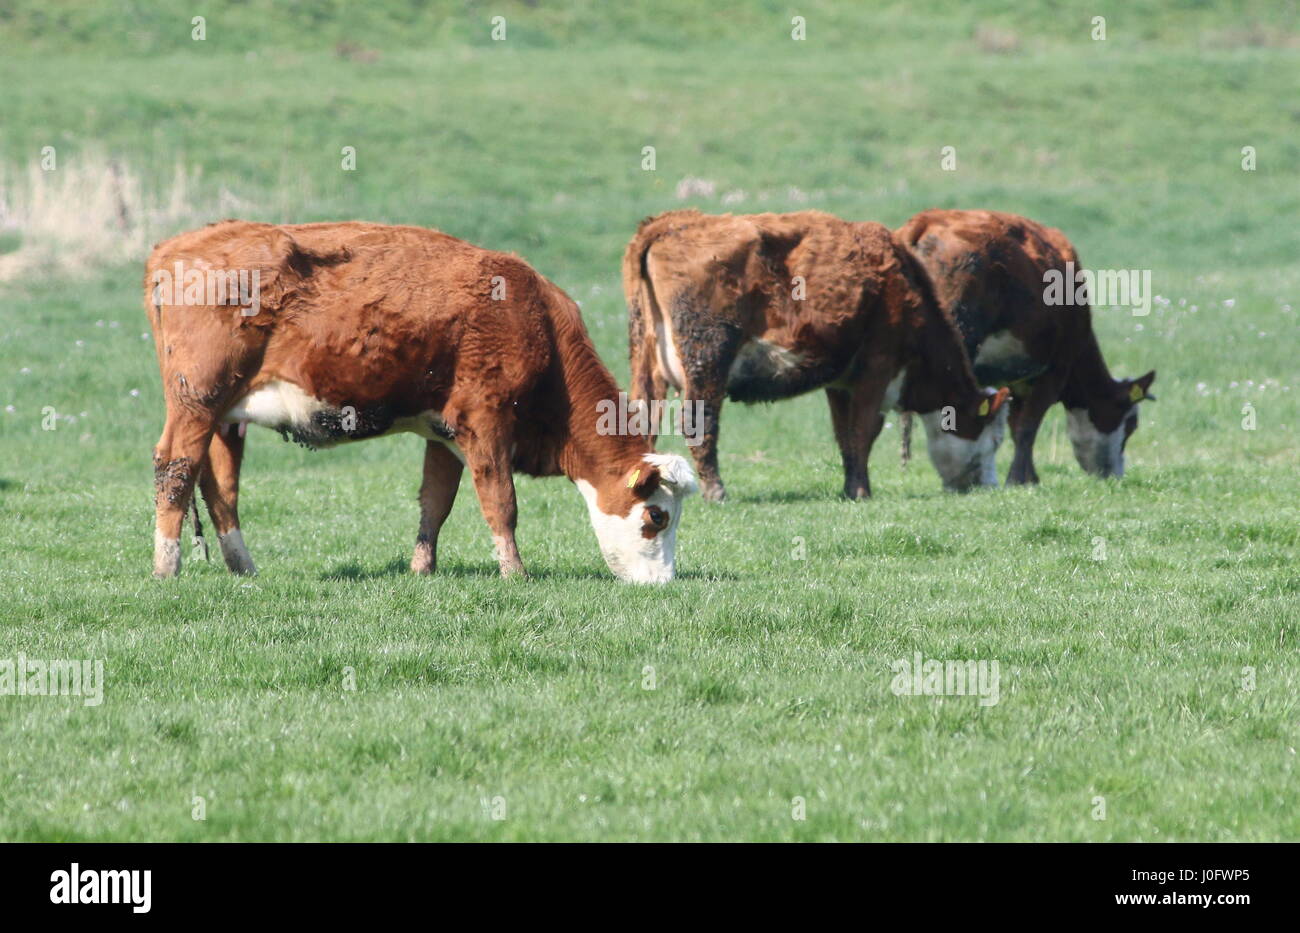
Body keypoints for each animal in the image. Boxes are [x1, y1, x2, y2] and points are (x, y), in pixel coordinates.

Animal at [144, 220, 698, 584]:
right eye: (657, 517)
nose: (664, 583)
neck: (534, 318)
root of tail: (170, 249)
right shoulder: (486, 421)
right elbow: (501, 503)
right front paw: (515, 572)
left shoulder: (444, 431)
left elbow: (436, 503)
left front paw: (422, 569)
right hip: (197, 401)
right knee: (176, 467)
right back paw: (166, 566)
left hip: (225, 415)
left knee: (219, 485)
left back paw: (244, 567)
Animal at [623, 209, 1010, 503]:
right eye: (993, 437)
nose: (988, 486)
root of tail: (671, 222)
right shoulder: (877, 365)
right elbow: (864, 429)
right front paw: (862, 491)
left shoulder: (840, 381)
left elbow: (845, 433)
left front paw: (851, 488)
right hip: (708, 357)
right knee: (699, 422)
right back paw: (716, 492)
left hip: (647, 360)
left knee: (643, 418)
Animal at [895, 209, 1156, 483]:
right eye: (1131, 424)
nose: (1114, 474)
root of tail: (927, 220)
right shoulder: (1056, 367)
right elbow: (1028, 425)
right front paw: (1022, 478)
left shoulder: (1011, 379)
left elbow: (1015, 424)